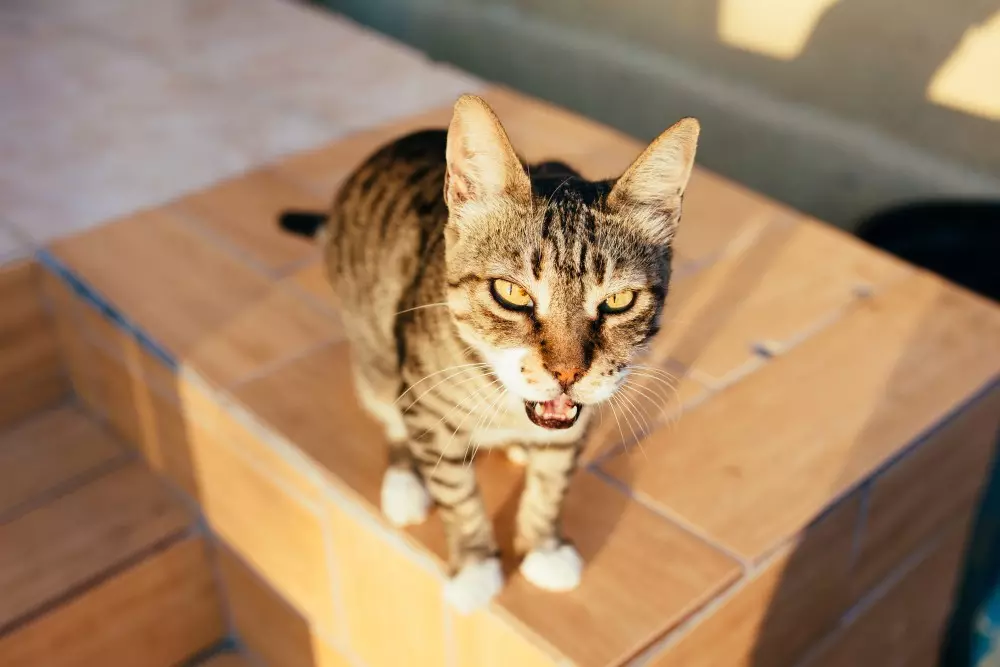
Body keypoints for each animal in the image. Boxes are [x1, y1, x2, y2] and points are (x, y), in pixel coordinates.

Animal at [278, 95, 700, 616]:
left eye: (619, 301)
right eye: (511, 293)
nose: (568, 372)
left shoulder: (572, 424)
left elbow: (553, 481)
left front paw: (543, 545)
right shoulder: (427, 406)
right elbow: (458, 496)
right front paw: (476, 565)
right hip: (374, 357)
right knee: (390, 414)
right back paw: (404, 483)